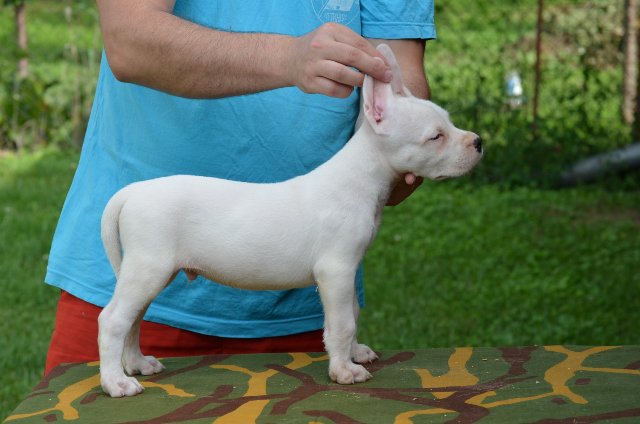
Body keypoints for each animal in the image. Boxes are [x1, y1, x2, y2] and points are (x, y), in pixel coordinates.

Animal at [97, 44, 482, 400]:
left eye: (448, 122)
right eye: (435, 136)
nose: (479, 142)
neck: (361, 175)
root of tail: (132, 191)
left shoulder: (348, 270)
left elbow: (353, 312)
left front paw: (356, 353)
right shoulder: (336, 271)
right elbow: (341, 323)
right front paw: (344, 370)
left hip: (148, 273)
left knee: (132, 319)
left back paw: (137, 364)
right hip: (149, 268)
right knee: (113, 320)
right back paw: (116, 382)